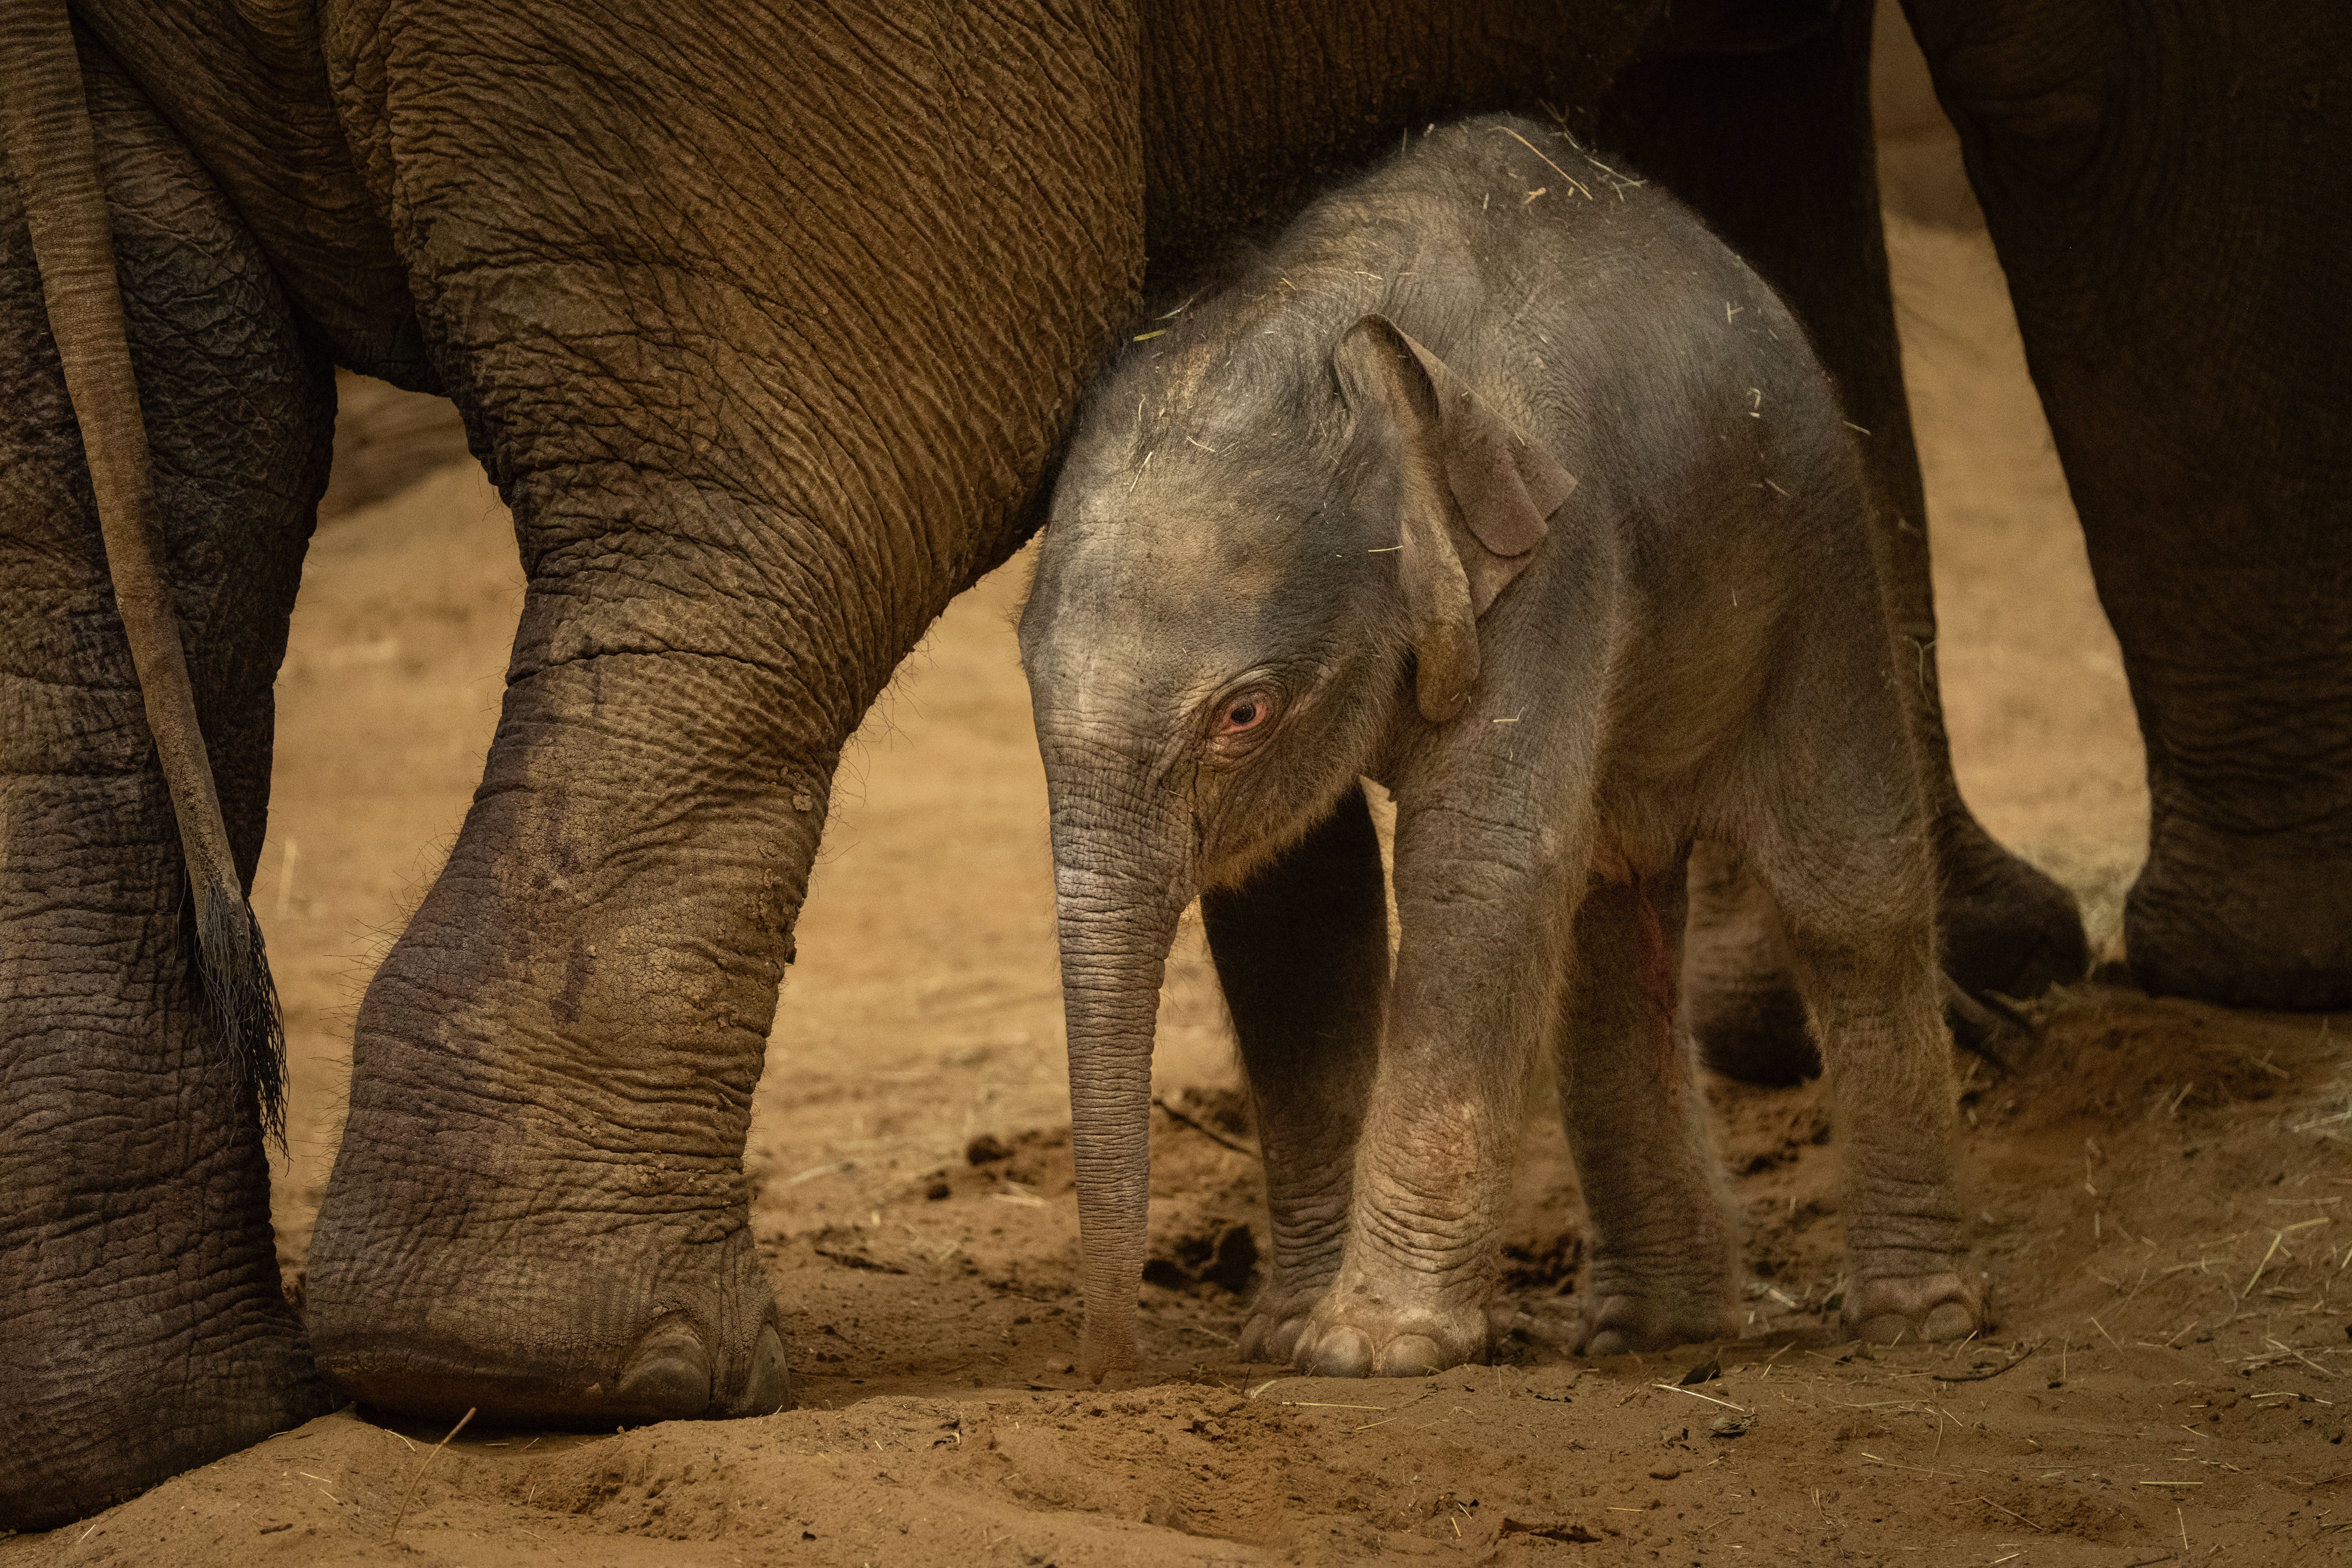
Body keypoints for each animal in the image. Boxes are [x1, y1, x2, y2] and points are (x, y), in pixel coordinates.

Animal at [1019, 114, 1984, 1379]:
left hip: (1815, 552)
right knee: (1609, 917)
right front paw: (1293, 1331)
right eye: (1026, 671)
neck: (1332, 334)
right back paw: (1655, 1330)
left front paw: (1367, 1349)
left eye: (1241, 715)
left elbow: (1477, 866)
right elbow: (1290, 902)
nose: (1106, 1368)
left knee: (1844, 894)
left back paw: (1918, 1321)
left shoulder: (1557, 558)